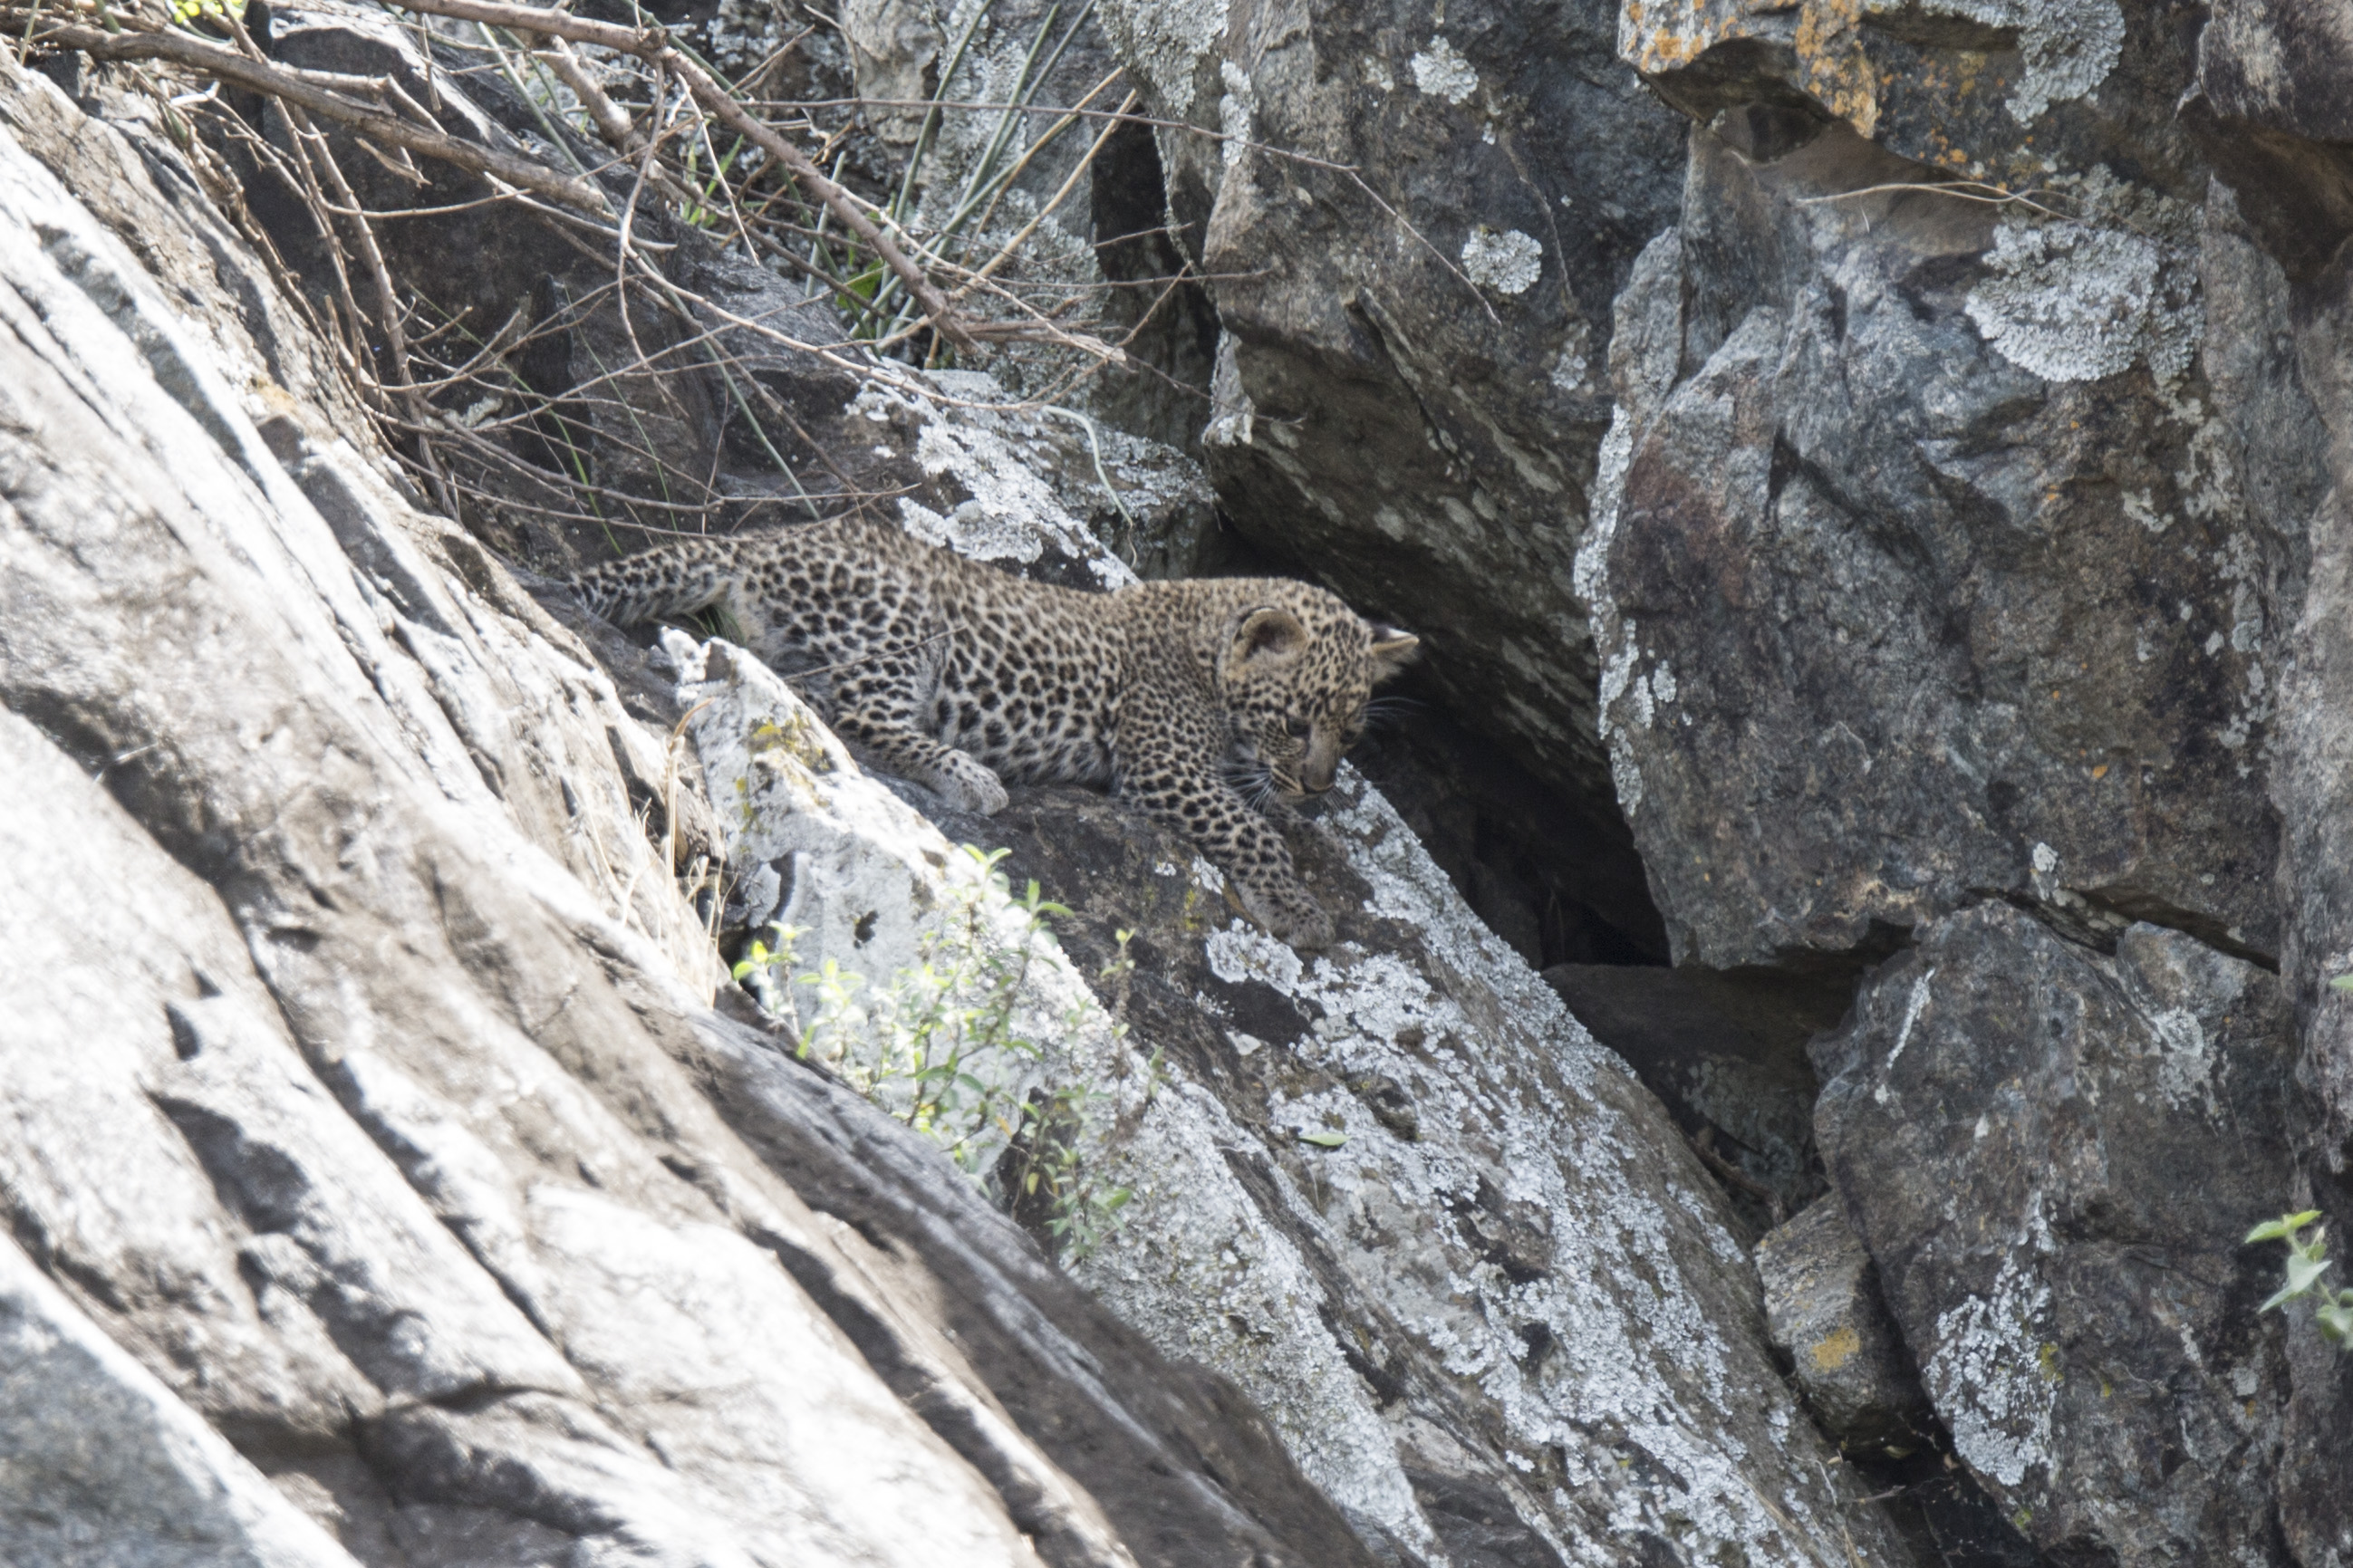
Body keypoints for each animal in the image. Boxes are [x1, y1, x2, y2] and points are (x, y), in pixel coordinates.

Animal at [573, 516, 1418, 949]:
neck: (1205, 645)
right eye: (1294, 721)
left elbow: (1256, 807)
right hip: (903, 627)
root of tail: (762, 540)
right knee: (851, 713)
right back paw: (970, 777)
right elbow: (1249, 829)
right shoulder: (1161, 763)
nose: (1318, 787)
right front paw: (1297, 905)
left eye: (1348, 733)